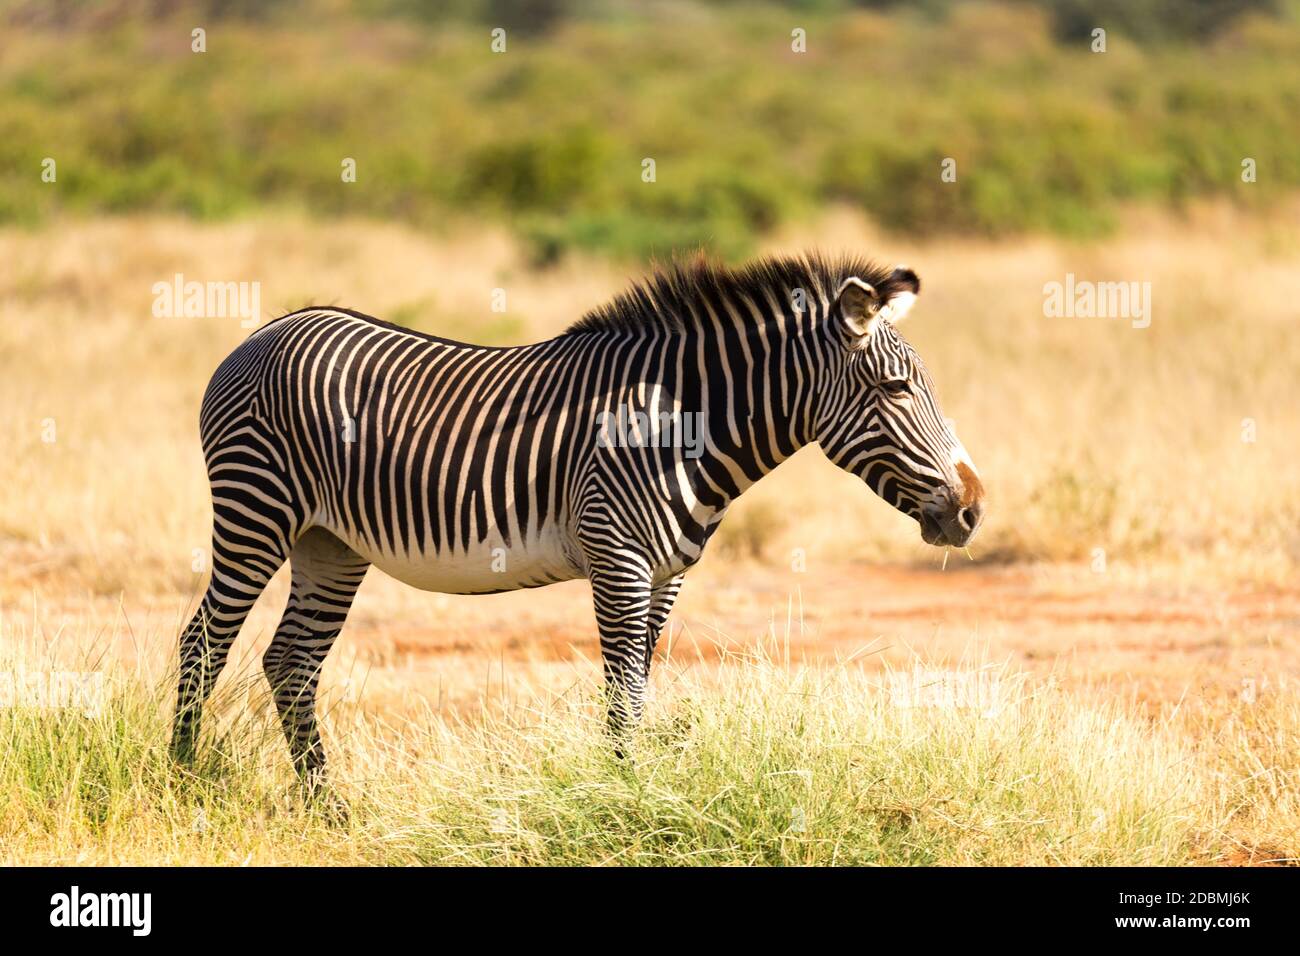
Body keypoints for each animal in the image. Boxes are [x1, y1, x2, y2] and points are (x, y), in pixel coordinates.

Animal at [170, 253, 985, 793]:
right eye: (896, 389)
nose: (973, 510)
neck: (678, 425)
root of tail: (263, 331)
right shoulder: (618, 557)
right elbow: (622, 698)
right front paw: (622, 802)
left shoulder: (667, 575)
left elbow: (641, 688)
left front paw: (631, 793)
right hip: (255, 511)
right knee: (202, 644)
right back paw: (182, 782)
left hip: (329, 542)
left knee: (291, 663)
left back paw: (328, 809)